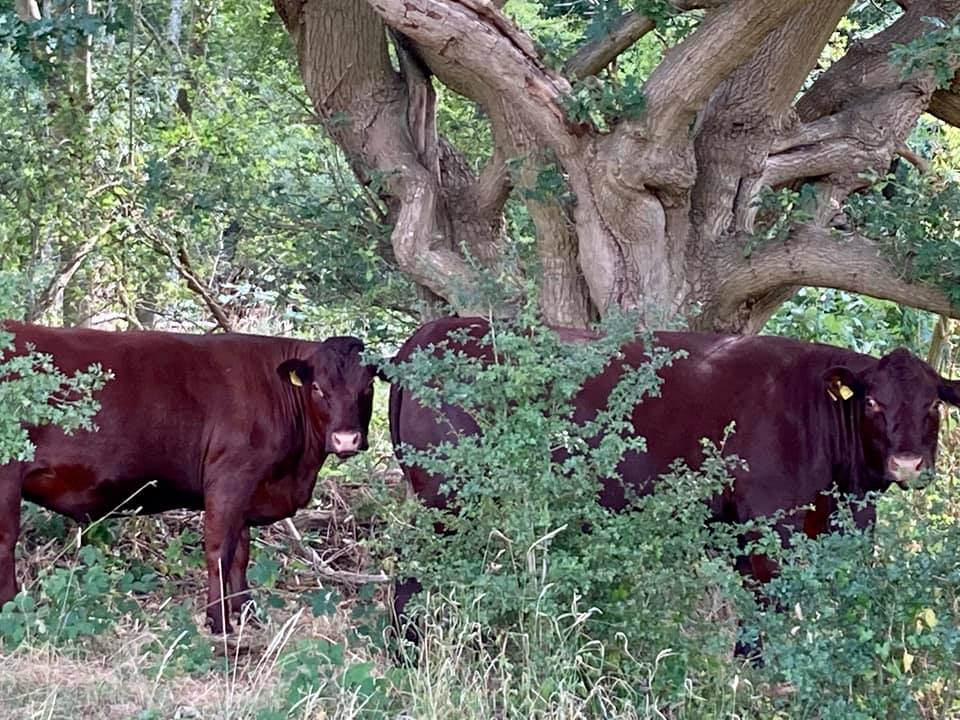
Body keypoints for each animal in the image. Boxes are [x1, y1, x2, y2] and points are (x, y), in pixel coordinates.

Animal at [0, 321, 379, 634]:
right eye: (318, 388)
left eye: (366, 388)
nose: (346, 439)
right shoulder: (230, 478)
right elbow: (219, 550)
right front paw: (219, 621)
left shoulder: (248, 490)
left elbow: (241, 553)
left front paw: (247, 612)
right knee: (6, 541)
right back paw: (11, 608)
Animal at [388, 316, 960, 632]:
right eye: (874, 403)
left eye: (933, 405)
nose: (908, 463)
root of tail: (424, 336)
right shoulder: (766, 526)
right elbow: (766, 613)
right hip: (446, 499)